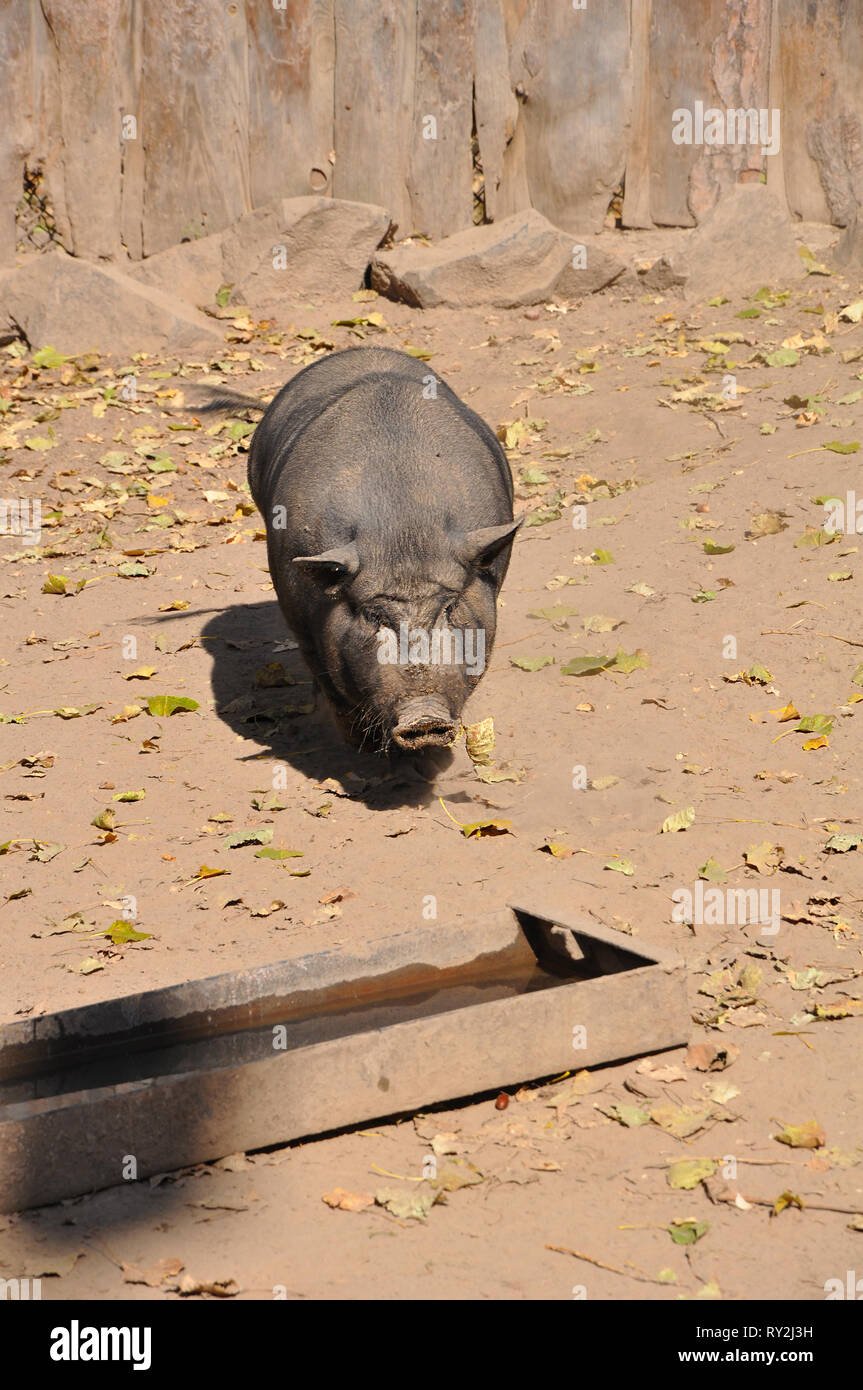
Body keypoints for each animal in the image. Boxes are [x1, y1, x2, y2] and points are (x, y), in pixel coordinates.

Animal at [204, 347, 520, 751]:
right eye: (372, 615)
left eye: (449, 607)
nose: (424, 717)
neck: (403, 529)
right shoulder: (301, 620)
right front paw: (359, 746)